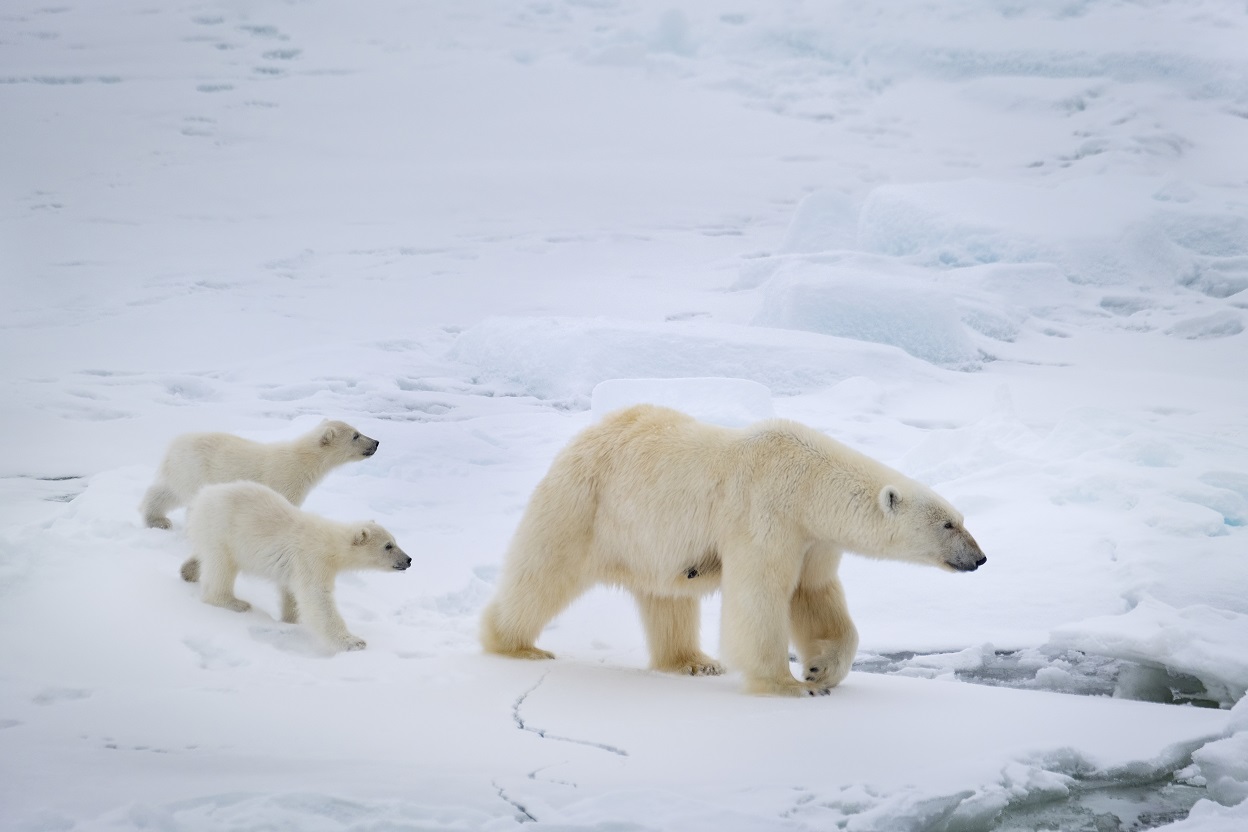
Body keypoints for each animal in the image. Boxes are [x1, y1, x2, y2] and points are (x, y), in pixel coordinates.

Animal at [140, 419, 379, 530]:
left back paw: (156, 519)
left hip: (181, 471)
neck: (302, 460)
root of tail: (173, 446)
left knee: (164, 492)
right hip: (196, 470)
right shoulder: (285, 481)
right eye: (356, 435)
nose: (376, 442)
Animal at [182, 480, 410, 652]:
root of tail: (204, 494)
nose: (408, 559)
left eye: (395, 540)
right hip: (222, 531)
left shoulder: (296, 566)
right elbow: (317, 597)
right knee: (221, 567)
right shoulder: (313, 560)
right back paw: (234, 602)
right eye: (388, 546)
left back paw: (188, 570)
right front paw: (353, 642)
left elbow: (292, 592)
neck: (330, 543)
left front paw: (291, 620)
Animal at [480, 404, 986, 696]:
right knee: (544, 571)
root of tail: (588, 433)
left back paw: (693, 662)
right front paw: (789, 685)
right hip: (585, 504)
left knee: (667, 599)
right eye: (948, 523)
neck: (807, 480)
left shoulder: (812, 538)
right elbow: (761, 594)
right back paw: (515, 645)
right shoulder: (766, 512)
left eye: (962, 519)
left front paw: (820, 669)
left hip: (651, 539)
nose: (980, 558)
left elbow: (814, 595)